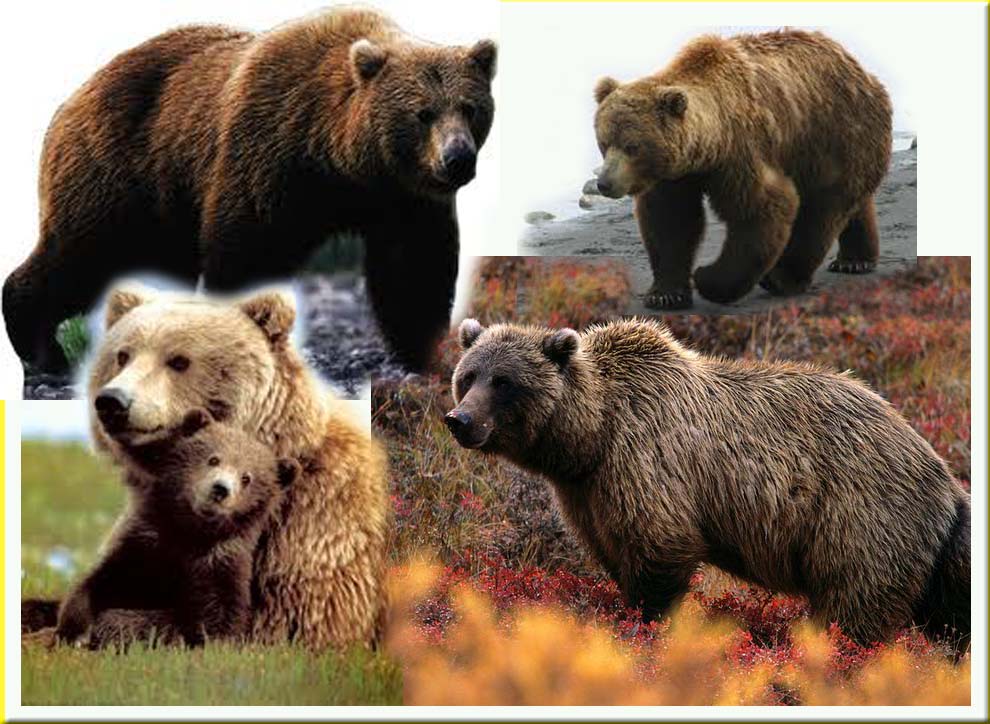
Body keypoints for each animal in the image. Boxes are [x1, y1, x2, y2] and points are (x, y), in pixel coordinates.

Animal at [3, 6, 497, 373]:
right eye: (423, 113)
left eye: (470, 108)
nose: (457, 158)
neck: (342, 161)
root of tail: (74, 95)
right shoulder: (270, 154)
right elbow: (247, 251)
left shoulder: (402, 197)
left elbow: (413, 269)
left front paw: (427, 353)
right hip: (120, 171)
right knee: (81, 254)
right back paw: (40, 347)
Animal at [55, 409, 300, 648]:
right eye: (213, 459)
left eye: (246, 477)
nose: (220, 489)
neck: (188, 532)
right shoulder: (144, 545)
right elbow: (101, 582)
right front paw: (79, 630)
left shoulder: (218, 565)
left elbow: (212, 623)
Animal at [445, 318, 970, 652]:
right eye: (468, 375)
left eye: (504, 381)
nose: (459, 420)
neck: (591, 436)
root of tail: (943, 471)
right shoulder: (587, 492)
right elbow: (611, 549)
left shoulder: (645, 459)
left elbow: (660, 548)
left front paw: (650, 624)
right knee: (951, 605)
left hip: (863, 514)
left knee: (855, 604)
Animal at [593, 30, 892, 310]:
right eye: (604, 142)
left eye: (632, 147)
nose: (604, 183)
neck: (708, 149)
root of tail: (862, 70)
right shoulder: (676, 174)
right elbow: (670, 221)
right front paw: (665, 294)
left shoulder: (741, 153)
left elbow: (760, 210)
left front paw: (706, 278)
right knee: (852, 203)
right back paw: (855, 260)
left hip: (835, 133)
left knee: (823, 208)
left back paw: (783, 278)